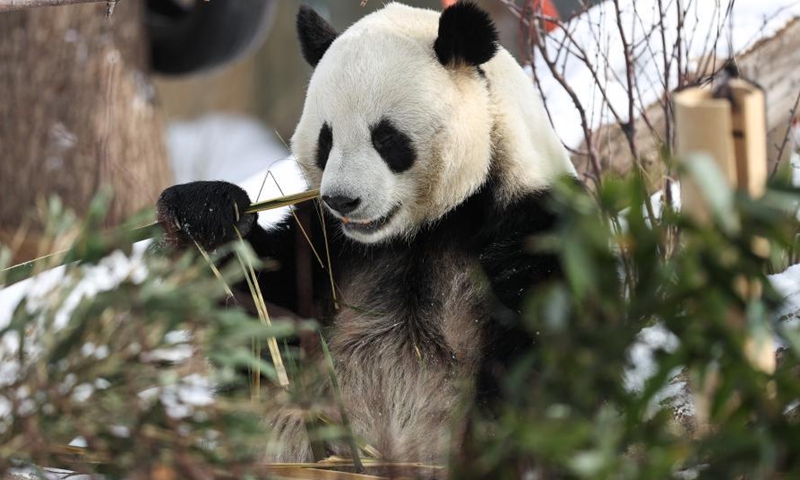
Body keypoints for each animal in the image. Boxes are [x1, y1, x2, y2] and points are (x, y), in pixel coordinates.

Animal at [156, 1, 577, 465]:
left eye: (386, 138)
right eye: (326, 140)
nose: (343, 200)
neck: (419, 232)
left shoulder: (532, 225)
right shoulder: (325, 242)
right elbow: (266, 320)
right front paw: (206, 212)